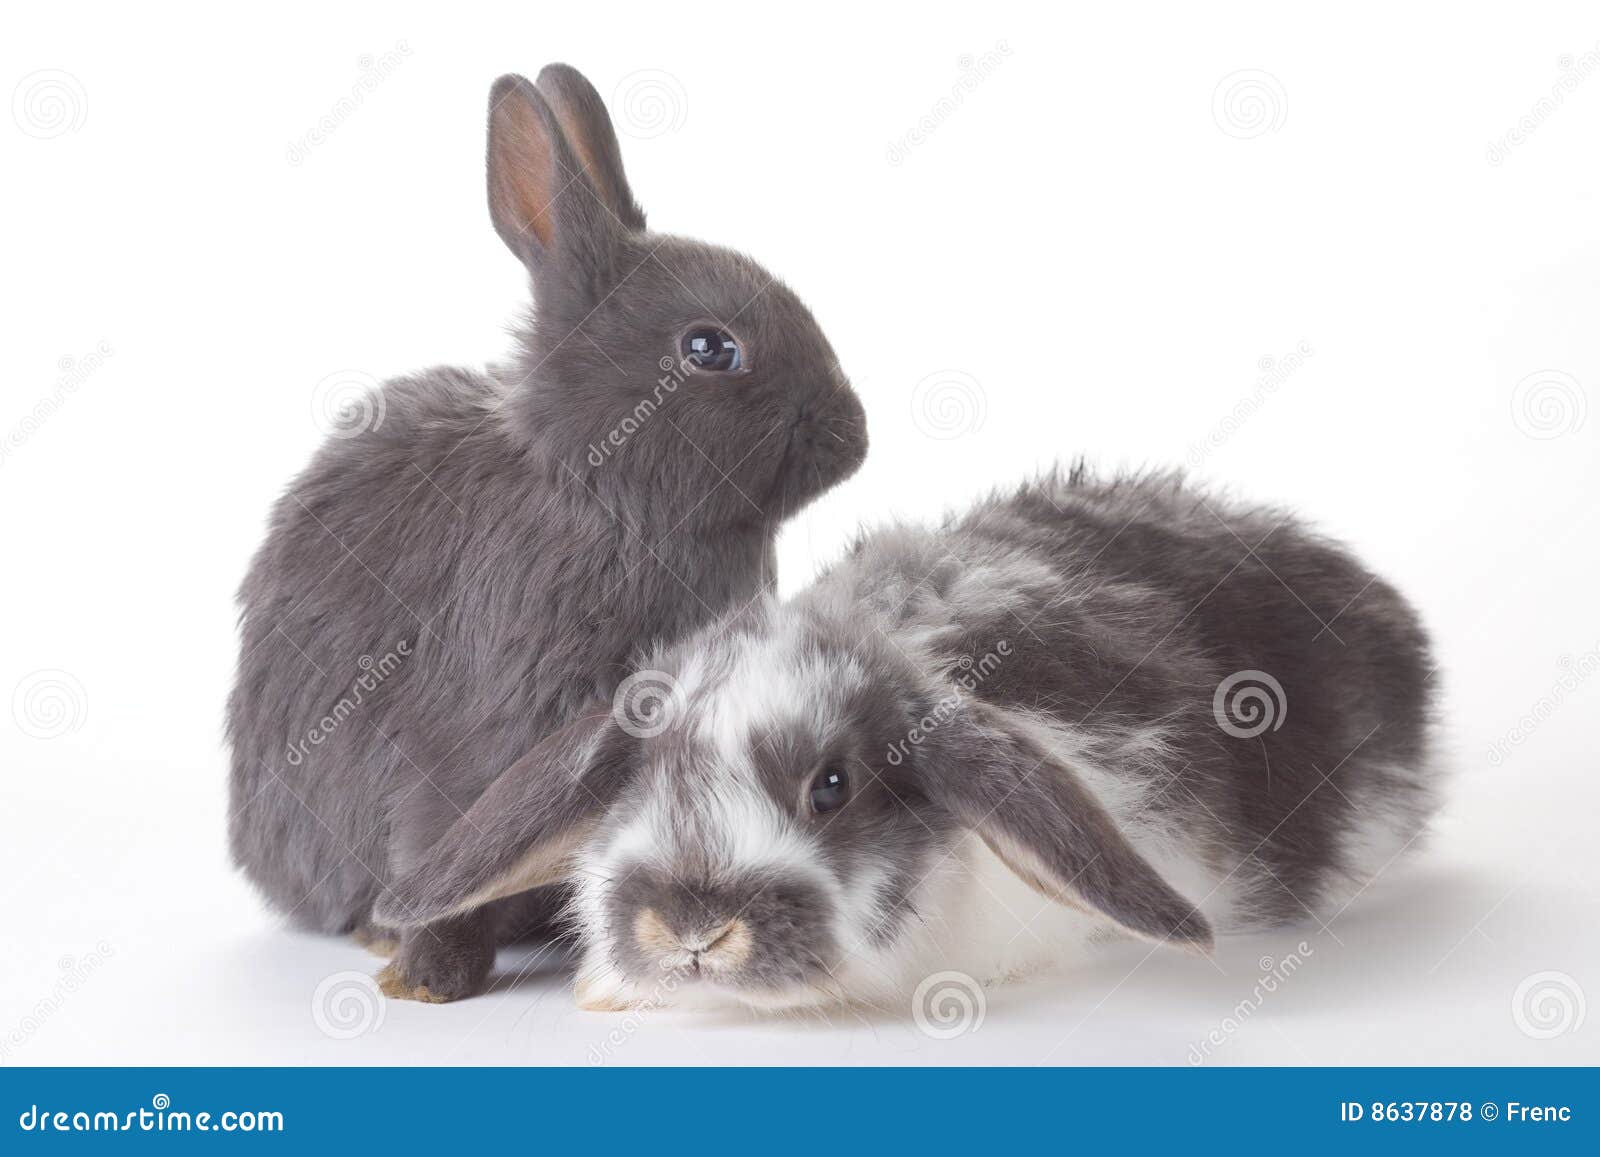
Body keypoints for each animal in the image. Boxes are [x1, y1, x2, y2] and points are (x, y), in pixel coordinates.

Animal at [226, 64, 867, 1003]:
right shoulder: (471, 746)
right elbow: (439, 850)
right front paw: (431, 978)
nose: (856, 435)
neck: (599, 490)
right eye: (710, 348)